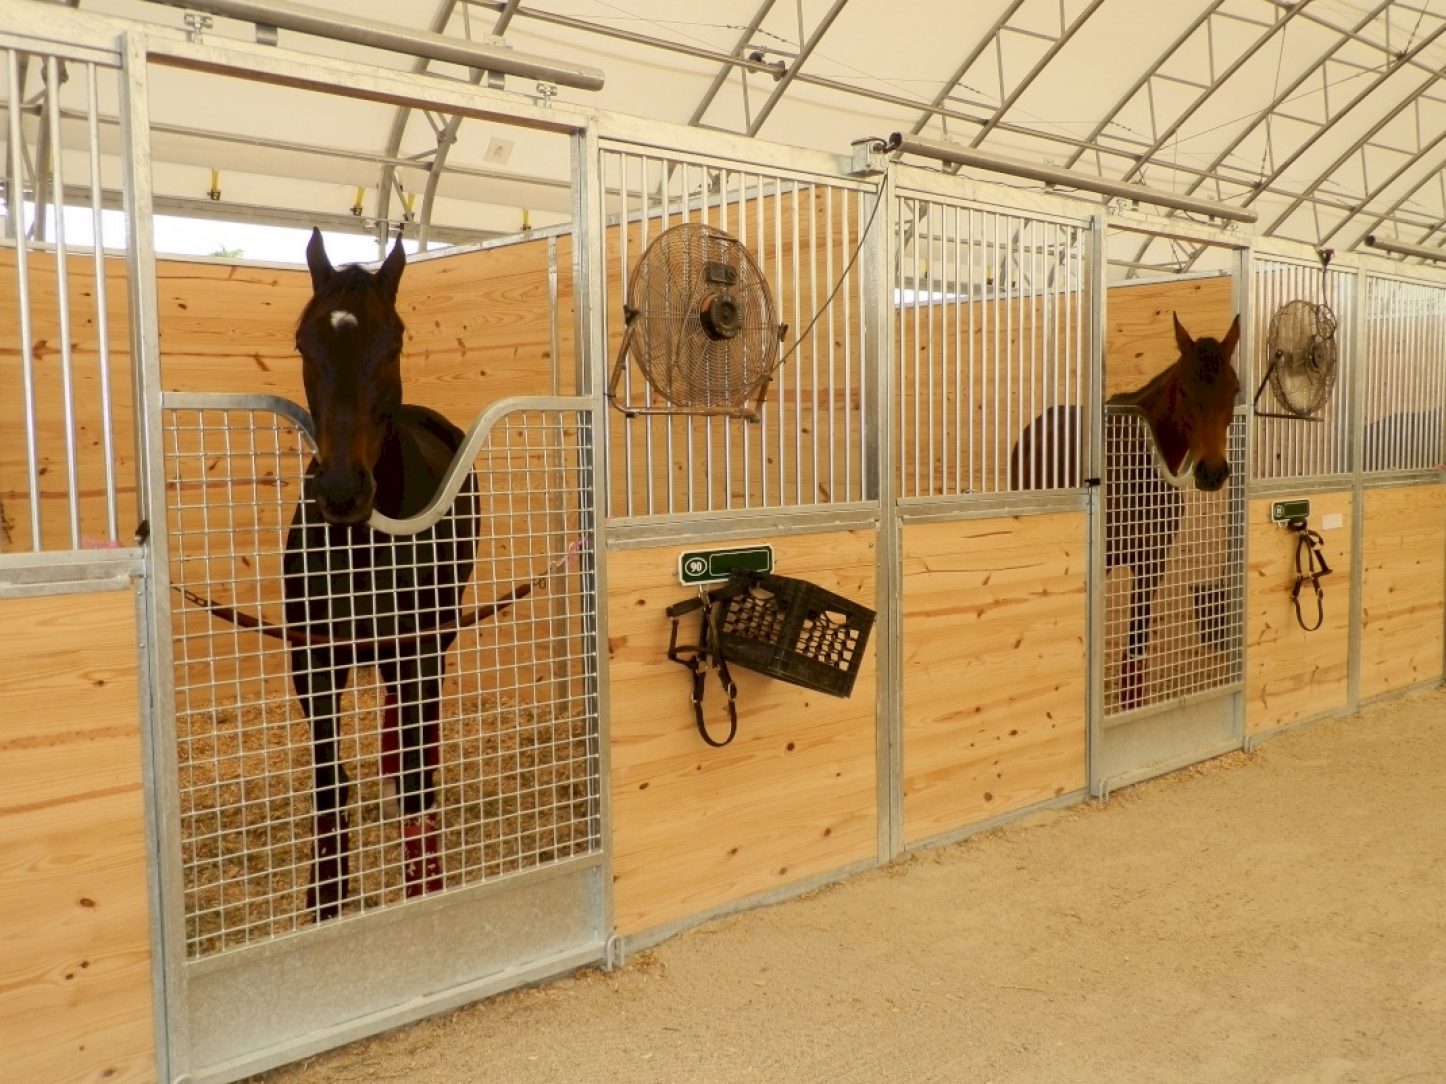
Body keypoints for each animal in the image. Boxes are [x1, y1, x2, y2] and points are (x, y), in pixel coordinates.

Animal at [283, 228, 479, 920]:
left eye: (392, 342)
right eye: (303, 342)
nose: (343, 492)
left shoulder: (414, 652)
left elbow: (419, 785)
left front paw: (425, 889)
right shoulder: (313, 662)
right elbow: (328, 786)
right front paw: (325, 902)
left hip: (435, 638)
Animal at [1011, 312, 1241, 711]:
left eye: (1235, 390)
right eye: (1183, 390)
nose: (1212, 472)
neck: (1140, 465)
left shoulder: (1151, 565)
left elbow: (1135, 661)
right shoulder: (1101, 563)